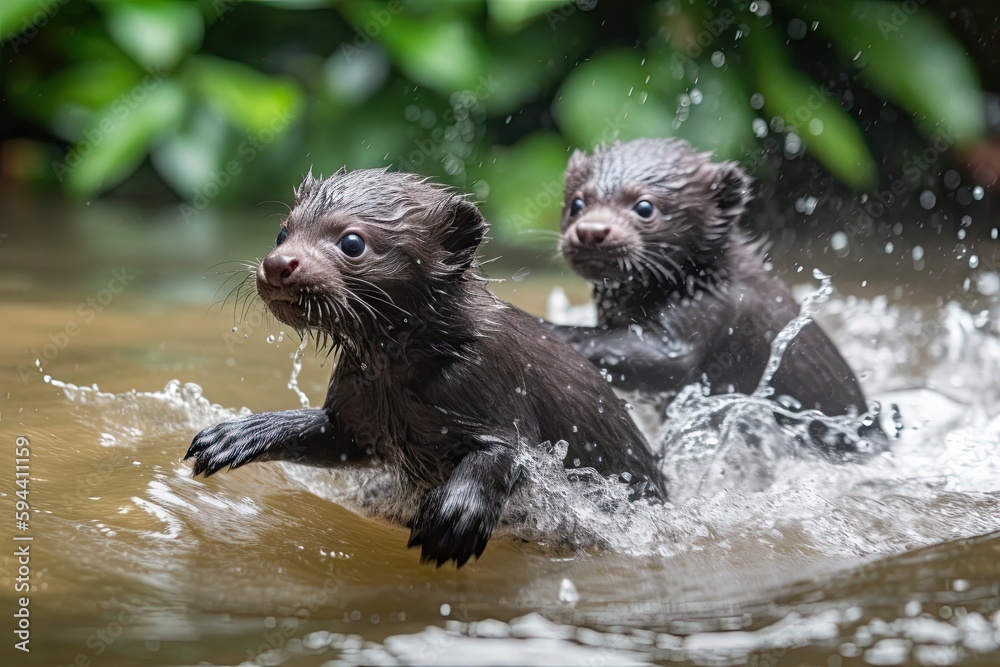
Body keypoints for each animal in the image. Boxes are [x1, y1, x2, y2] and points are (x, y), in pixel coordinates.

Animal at [185, 168, 666, 567]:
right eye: (283, 230)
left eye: (352, 241)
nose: (278, 263)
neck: (399, 386)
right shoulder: (356, 411)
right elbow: (329, 435)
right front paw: (234, 436)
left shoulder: (491, 382)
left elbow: (506, 453)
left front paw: (455, 517)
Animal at [545, 138, 886, 454]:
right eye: (577, 203)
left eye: (644, 206)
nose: (591, 230)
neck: (706, 279)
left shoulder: (714, 307)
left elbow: (670, 362)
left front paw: (552, 329)